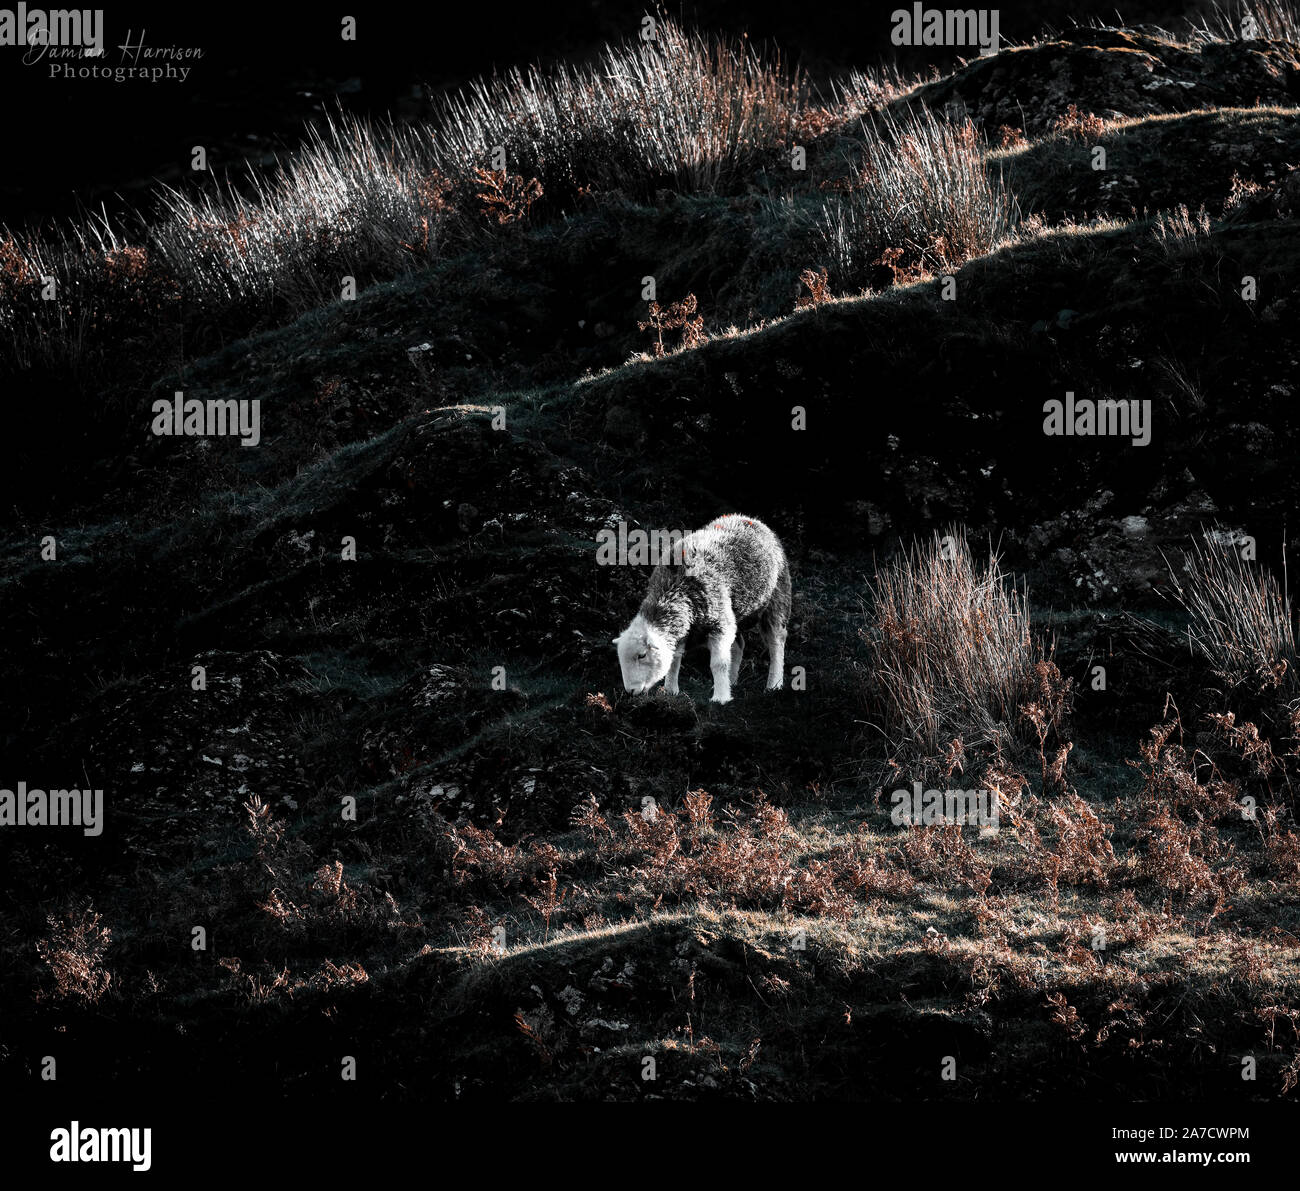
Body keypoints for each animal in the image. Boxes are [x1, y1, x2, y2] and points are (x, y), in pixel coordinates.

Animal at [613, 514, 791, 703]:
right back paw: (732, 681)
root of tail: (751, 520)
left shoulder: (719, 624)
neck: (674, 590)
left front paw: (720, 698)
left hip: (777, 599)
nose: (630, 691)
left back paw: (774, 684)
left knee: (776, 641)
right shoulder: (684, 628)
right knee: (739, 645)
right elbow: (674, 660)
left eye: (642, 655)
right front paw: (670, 691)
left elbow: (718, 663)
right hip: (736, 611)